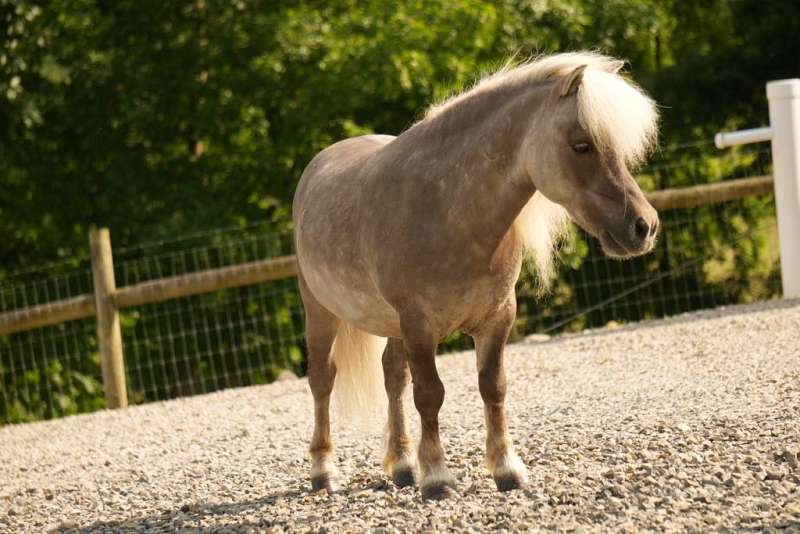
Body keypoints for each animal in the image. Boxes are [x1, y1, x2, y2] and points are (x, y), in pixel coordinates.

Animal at [292, 51, 659, 500]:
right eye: (581, 145)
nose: (644, 226)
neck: (449, 210)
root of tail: (319, 165)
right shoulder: (419, 325)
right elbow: (430, 395)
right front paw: (437, 477)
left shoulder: (497, 317)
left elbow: (492, 387)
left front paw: (506, 469)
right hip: (320, 311)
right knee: (322, 381)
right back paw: (324, 471)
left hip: (389, 323)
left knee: (392, 376)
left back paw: (402, 464)